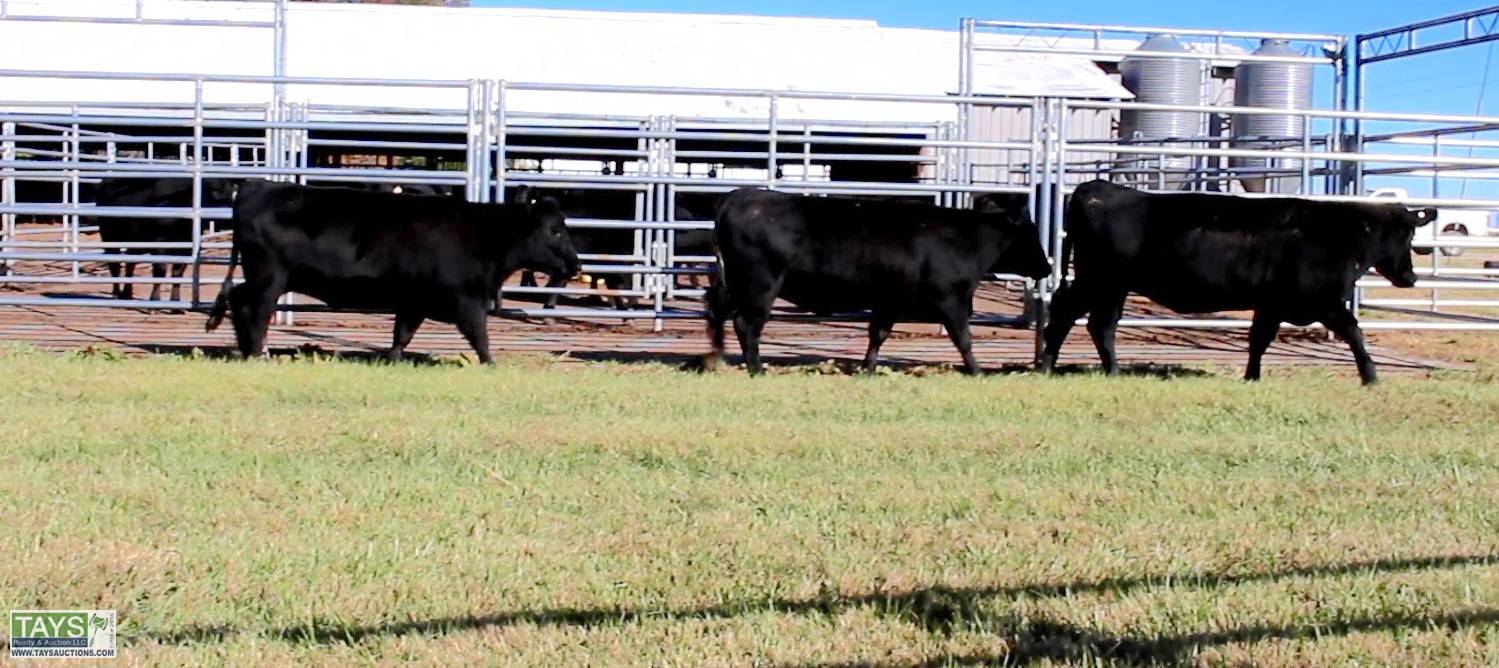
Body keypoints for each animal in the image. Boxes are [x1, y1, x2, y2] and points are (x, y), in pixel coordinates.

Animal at [89, 177, 239, 301]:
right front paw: (154, 300)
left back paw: (127, 294)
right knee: (114, 265)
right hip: (109, 237)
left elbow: (178, 272)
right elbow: (160, 270)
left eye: (233, 193)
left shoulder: (186, 247)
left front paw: (175, 302)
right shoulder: (159, 243)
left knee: (130, 264)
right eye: (215, 193)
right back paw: (116, 294)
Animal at [204, 181, 580, 363]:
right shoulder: (467, 298)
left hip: (263, 278)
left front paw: (393, 360)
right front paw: (492, 364)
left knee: (238, 300)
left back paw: (249, 350)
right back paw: (258, 353)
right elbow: (480, 335)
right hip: (269, 279)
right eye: (555, 231)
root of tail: (259, 185)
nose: (576, 265)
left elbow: (402, 333)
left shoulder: (414, 300)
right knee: (255, 311)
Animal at [706, 188, 1052, 375]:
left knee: (722, 314)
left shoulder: (890, 301)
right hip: (760, 285)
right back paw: (756, 368)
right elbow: (963, 338)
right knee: (747, 325)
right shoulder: (951, 299)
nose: (1048, 267)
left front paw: (868, 368)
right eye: (1030, 232)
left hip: (739, 284)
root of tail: (740, 196)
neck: (967, 238)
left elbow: (878, 334)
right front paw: (977, 370)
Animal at [1039, 179, 1435, 385]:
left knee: (1098, 324)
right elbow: (1354, 332)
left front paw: (1251, 376)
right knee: (1066, 316)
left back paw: (1109, 371)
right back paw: (1048, 366)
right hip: (1098, 280)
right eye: (1405, 234)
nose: (1411, 276)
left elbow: (1258, 340)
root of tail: (1097, 187)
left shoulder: (1273, 303)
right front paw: (1371, 375)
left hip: (1112, 286)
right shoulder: (1324, 301)